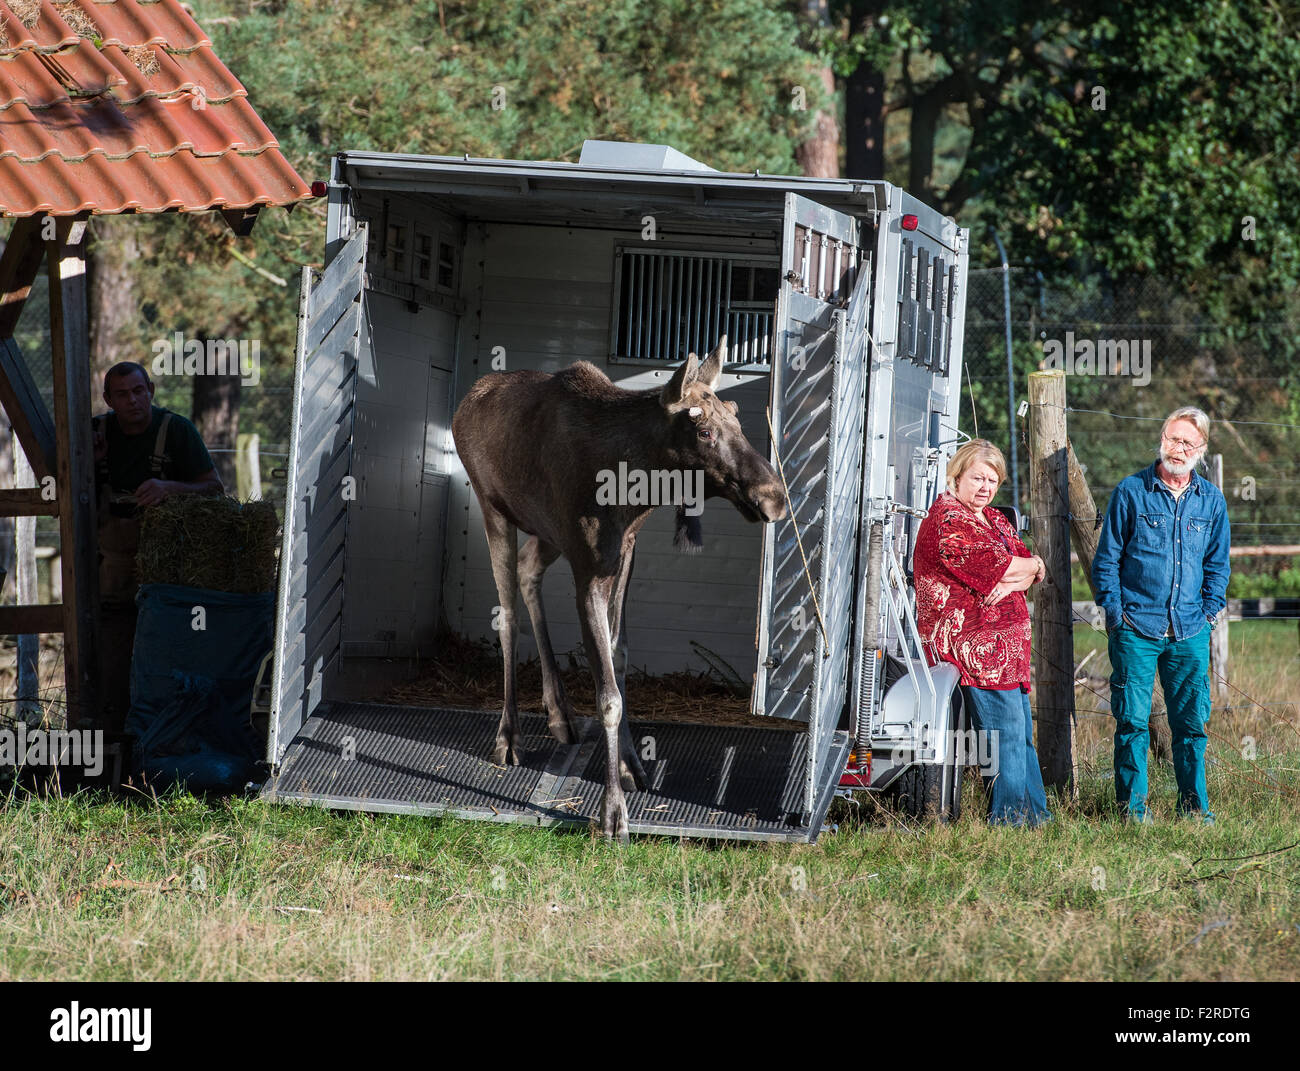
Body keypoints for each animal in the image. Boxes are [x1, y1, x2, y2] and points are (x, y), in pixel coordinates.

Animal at [451, 337, 787, 841]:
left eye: (735, 416)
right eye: (703, 430)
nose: (774, 497)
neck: (632, 485)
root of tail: (466, 401)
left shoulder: (625, 550)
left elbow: (619, 652)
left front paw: (631, 765)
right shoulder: (588, 567)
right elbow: (608, 694)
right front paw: (613, 812)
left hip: (549, 534)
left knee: (529, 571)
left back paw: (559, 712)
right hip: (495, 509)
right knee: (506, 614)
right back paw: (508, 735)